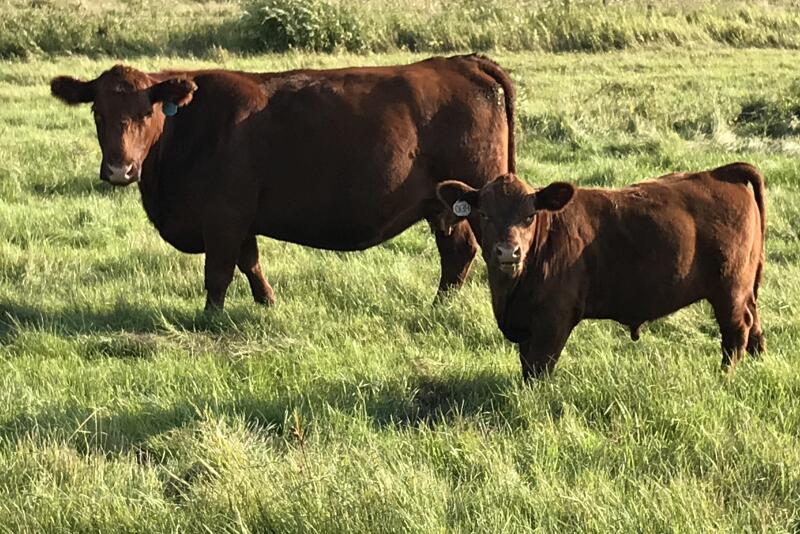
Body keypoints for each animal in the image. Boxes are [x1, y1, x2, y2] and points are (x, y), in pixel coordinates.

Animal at [50, 55, 515, 311]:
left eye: (147, 112)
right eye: (98, 113)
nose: (119, 169)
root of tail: (461, 61)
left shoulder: (223, 218)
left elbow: (218, 273)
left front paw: (210, 319)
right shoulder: (240, 220)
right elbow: (249, 262)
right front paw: (267, 302)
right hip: (443, 208)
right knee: (456, 254)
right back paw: (439, 307)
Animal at [436, 162, 766, 380]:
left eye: (530, 216)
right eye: (484, 214)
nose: (508, 252)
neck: (510, 292)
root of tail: (721, 172)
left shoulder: (553, 319)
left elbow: (539, 368)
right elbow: (526, 365)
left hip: (730, 289)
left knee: (736, 331)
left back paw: (725, 376)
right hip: (744, 287)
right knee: (754, 321)